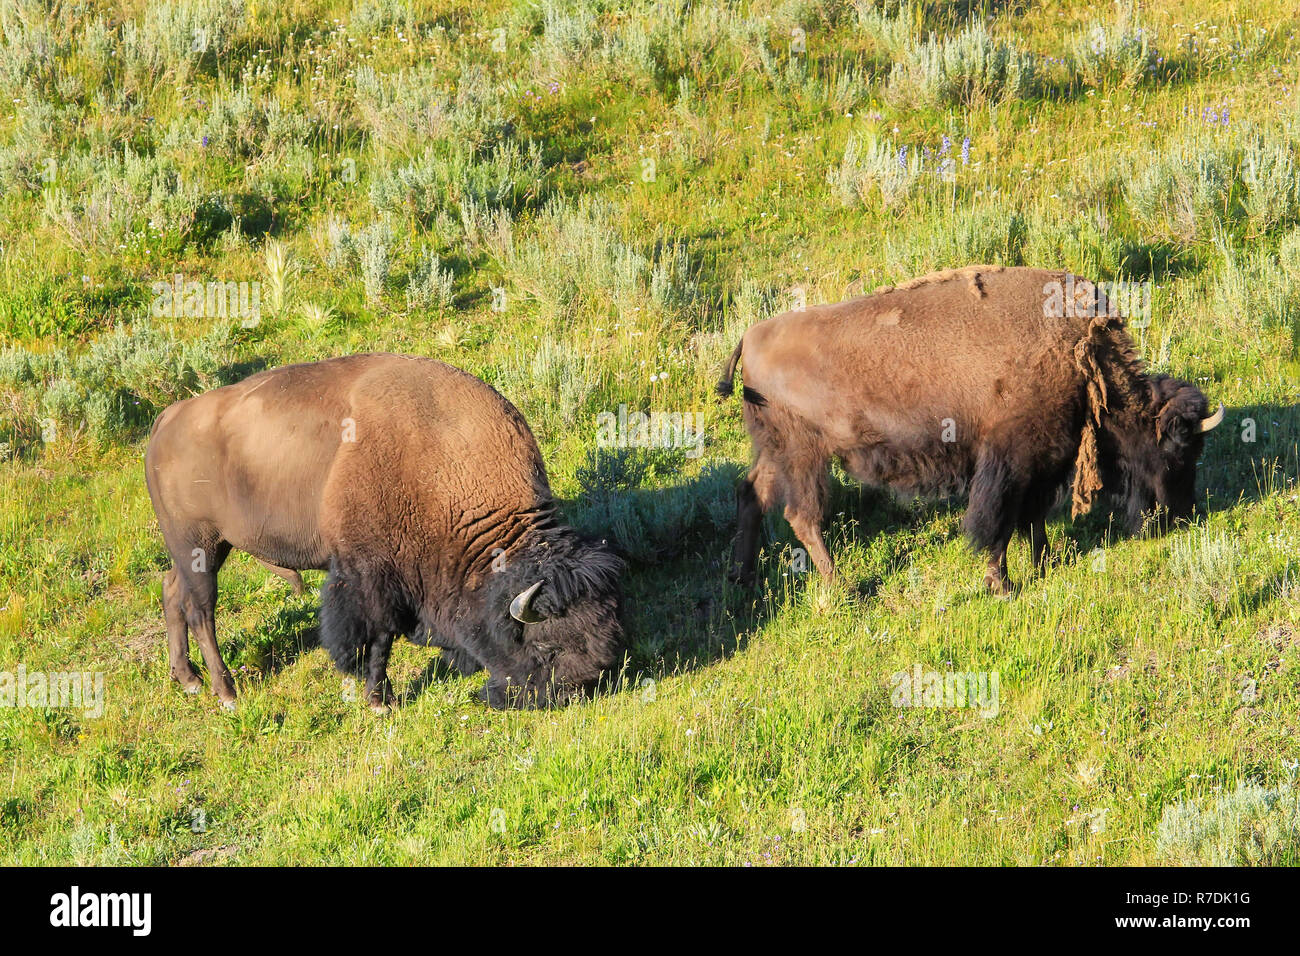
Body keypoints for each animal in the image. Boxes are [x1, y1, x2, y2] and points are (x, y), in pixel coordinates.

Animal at [145, 353, 624, 711]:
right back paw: (226, 693)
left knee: (172, 592)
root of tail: (166, 419)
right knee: (201, 611)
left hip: (204, 550)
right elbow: (373, 640)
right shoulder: (369, 578)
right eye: (547, 649)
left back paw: (187, 680)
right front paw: (379, 701)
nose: (577, 692)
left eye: (605, 635)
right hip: (199, 545)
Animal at [717, 265, 1224, 594]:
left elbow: (1032, 517)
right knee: (801, 515)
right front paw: (1000, 584)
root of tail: (750, 336)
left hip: (775, 451)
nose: (1184, 514)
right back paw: (843, 588)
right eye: (1179, 447)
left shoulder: (1040, 464)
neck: (1081, 358)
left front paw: (1042, 564)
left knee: (751, 494)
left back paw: (742, 577)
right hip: (804, 455)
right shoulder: (1009, 463)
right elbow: (997, 522)